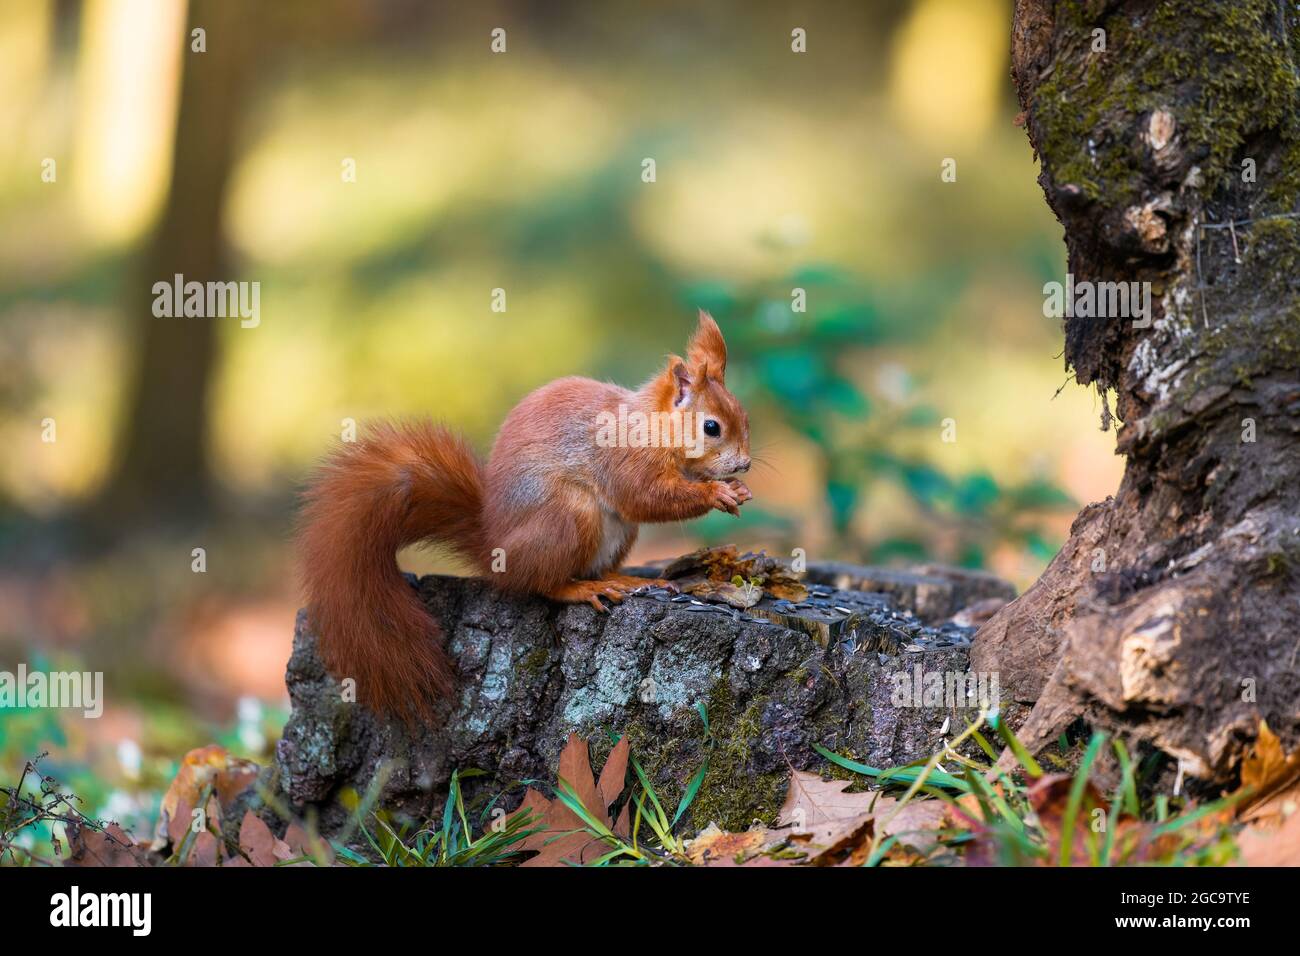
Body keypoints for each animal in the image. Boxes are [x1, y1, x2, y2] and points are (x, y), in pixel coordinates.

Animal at [296, 311, 753, 722]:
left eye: (744, 417)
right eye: (711, 427)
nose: (746, 464)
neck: (652, 425)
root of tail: (494, 548)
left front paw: (737, 490)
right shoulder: (624, 459)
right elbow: (645, 496)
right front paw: (716, 492)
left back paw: (621, 579)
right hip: (569, 518)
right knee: (542, 583)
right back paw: (581, 590)